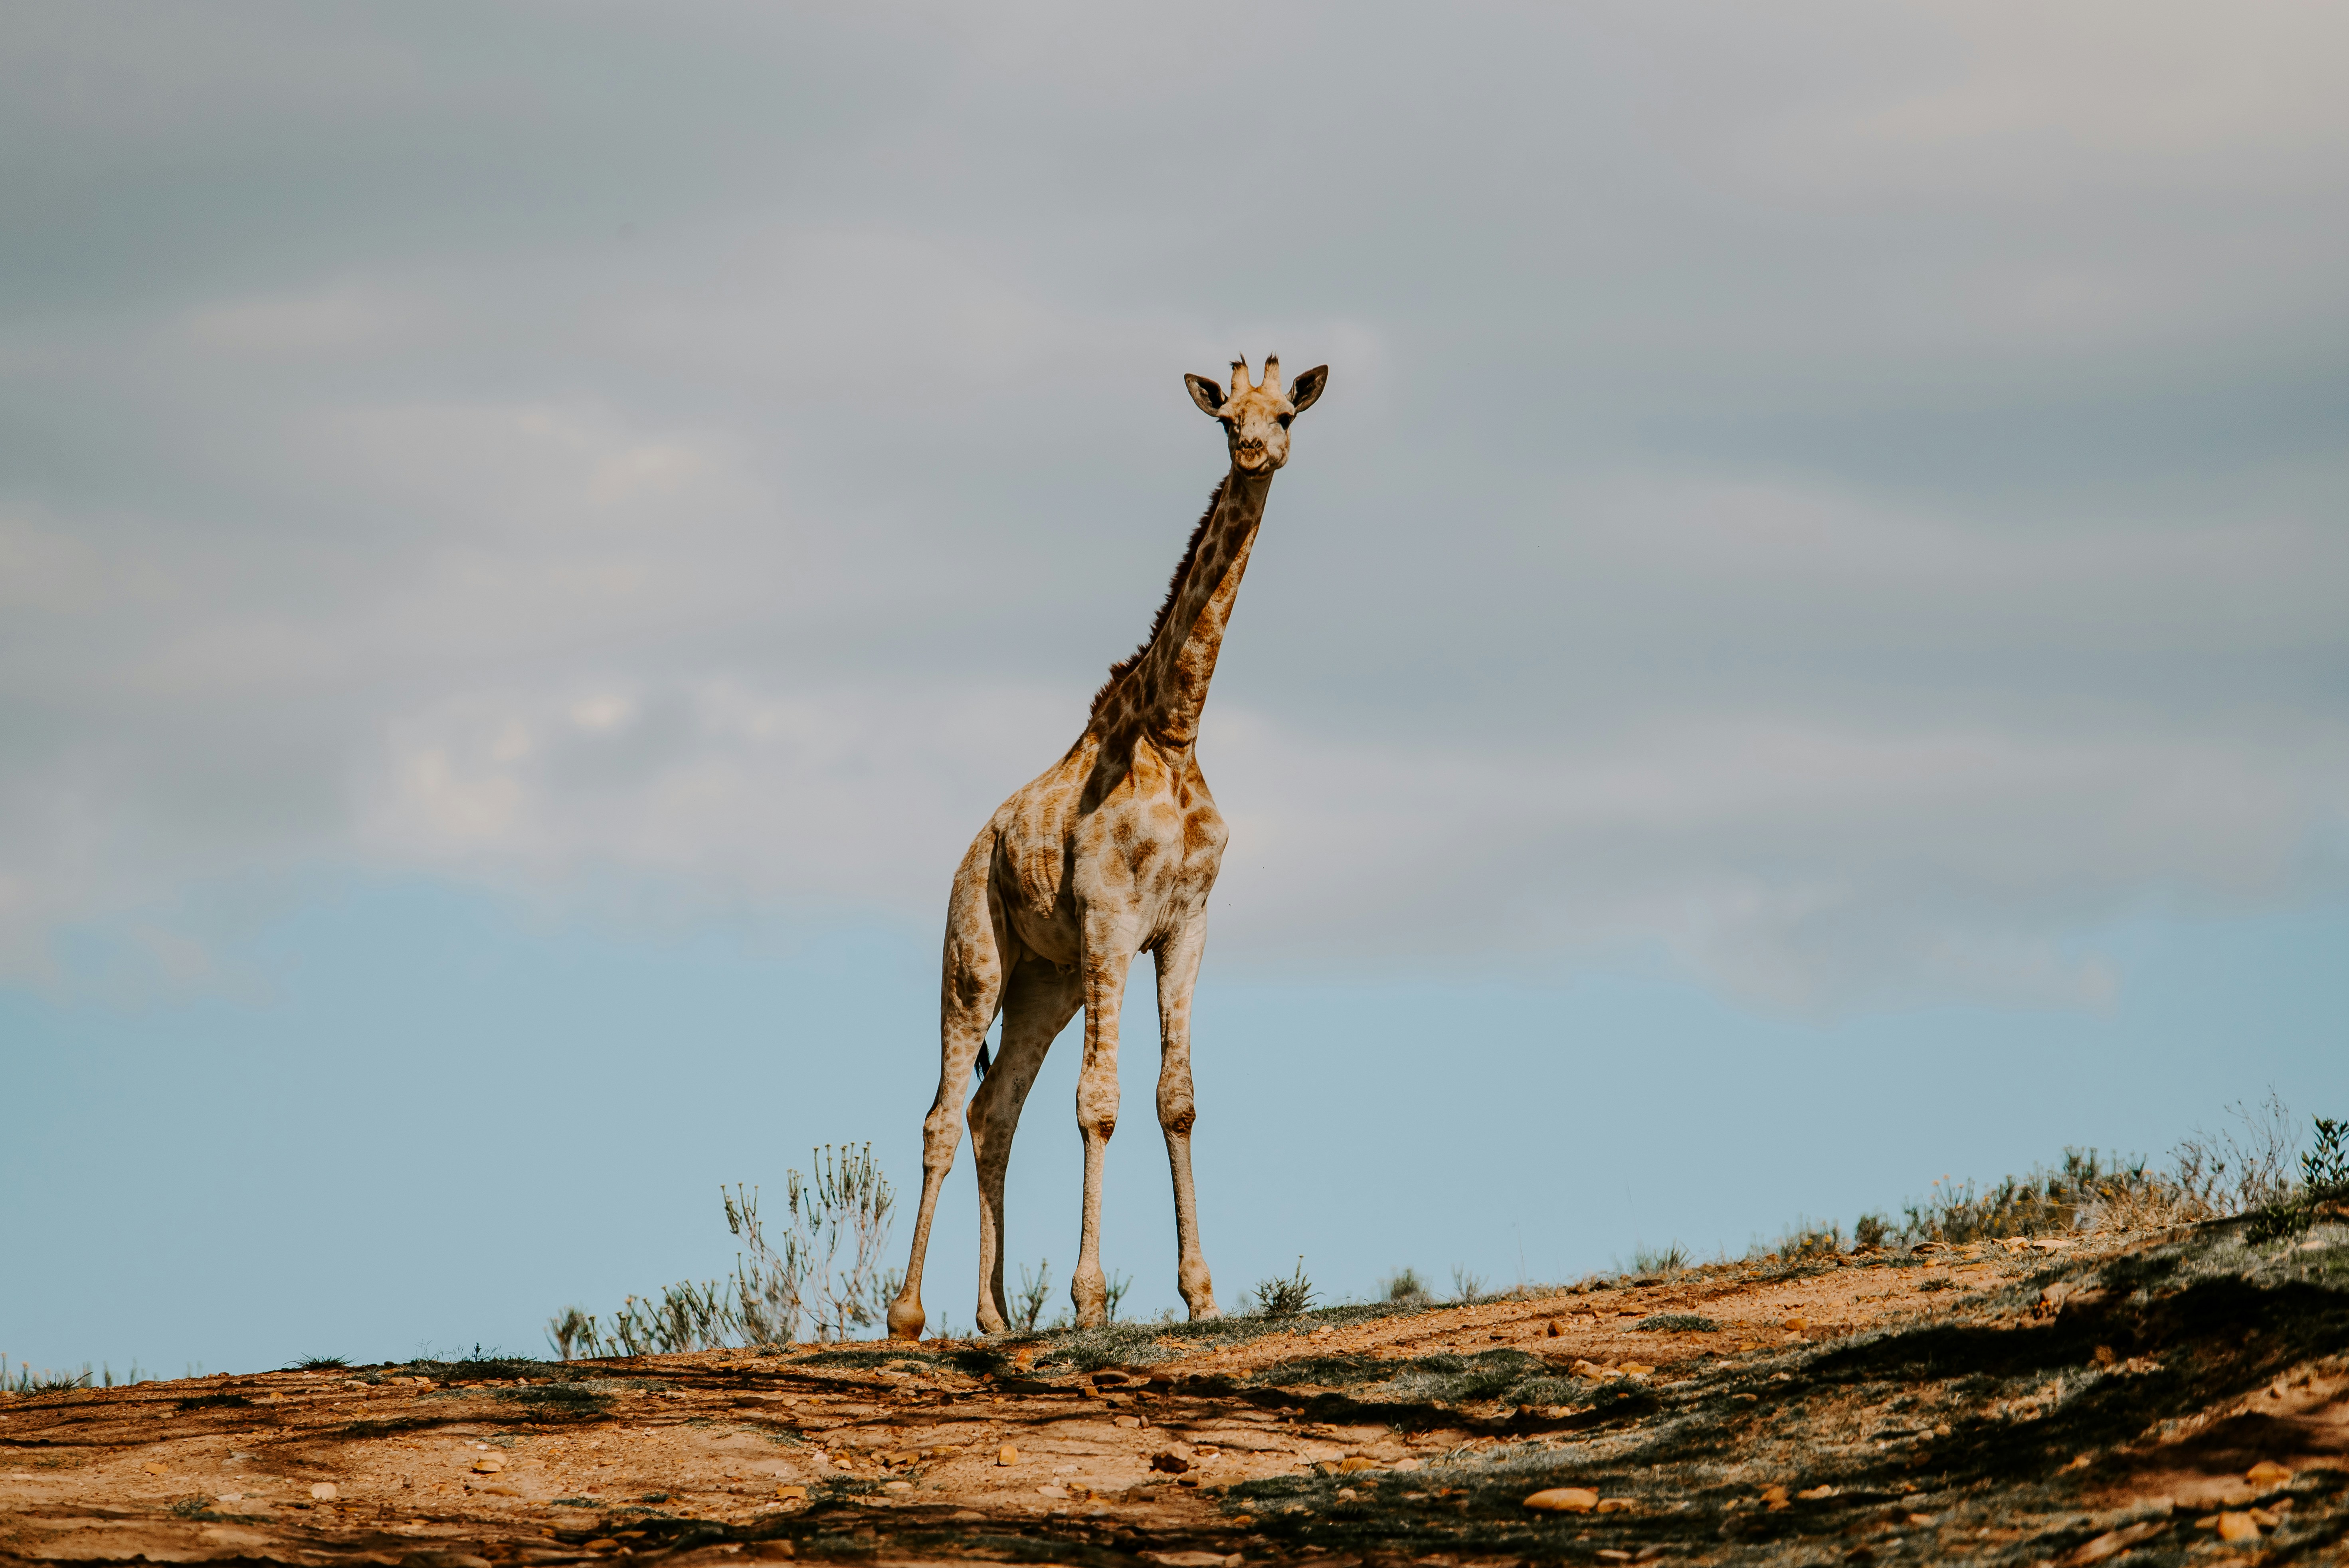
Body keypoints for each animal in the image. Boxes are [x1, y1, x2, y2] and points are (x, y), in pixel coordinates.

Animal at [886, 354, 1328, 1338]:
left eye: (1286, 414)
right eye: (1225, 419)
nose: (1256, 451)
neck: (1173, 731)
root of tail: (972, 849)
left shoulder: (1185, 924)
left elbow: (1177, 1098)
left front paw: (1201, 1294)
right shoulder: (1110, 918)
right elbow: (1099, 1102)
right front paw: (1090, 1300)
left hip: (1045, 984)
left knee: (993, 1111)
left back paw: (996, 1317)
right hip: (975, 958)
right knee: (941, 1114)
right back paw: (906, 1314)